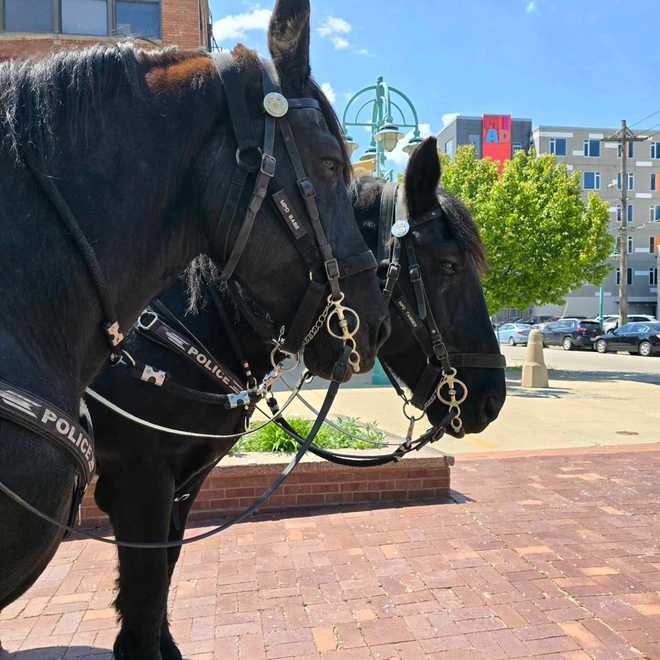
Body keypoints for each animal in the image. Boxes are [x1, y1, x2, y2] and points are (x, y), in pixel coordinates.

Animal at [84, 136, 506, 659]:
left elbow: (164, 569)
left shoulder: (184, 480)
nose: (492, 397)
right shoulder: (140, 479)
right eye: (448, 265)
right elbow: (144, 590)